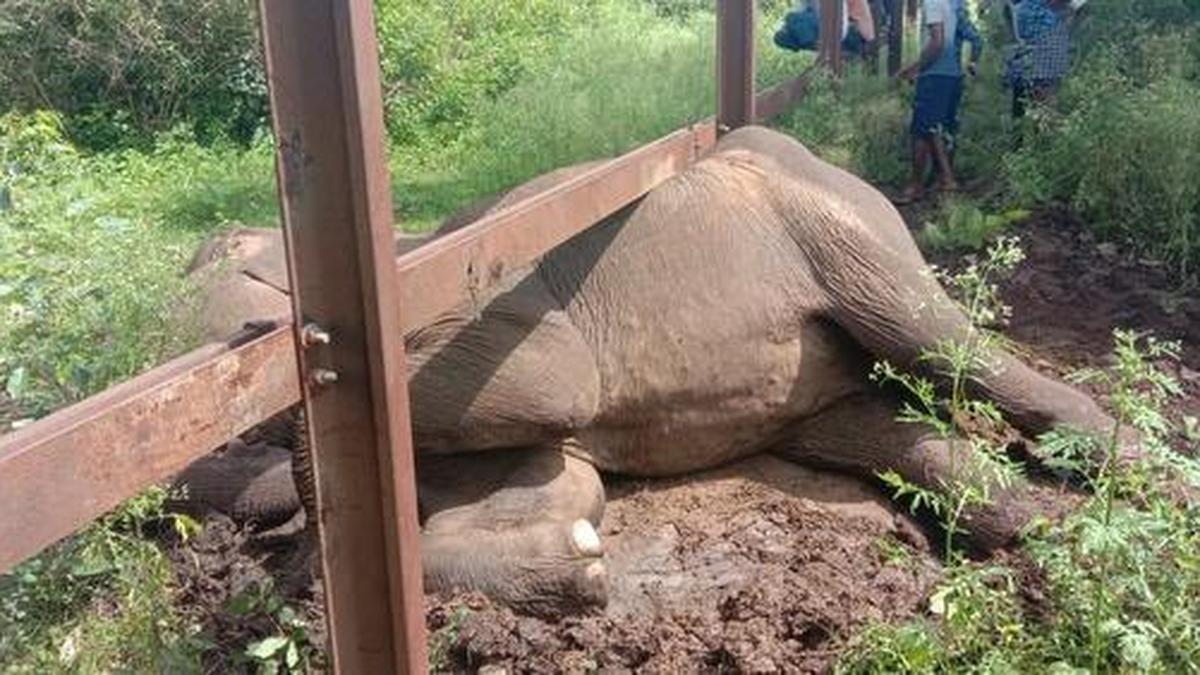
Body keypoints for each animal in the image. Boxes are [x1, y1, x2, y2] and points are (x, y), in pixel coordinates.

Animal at [175, 125, 1119, 614]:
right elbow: (565, 488)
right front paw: (579, 561)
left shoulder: (482, 309)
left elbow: (560, 387)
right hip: (821, 377)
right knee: (896, 434)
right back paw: (1047, 536)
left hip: (836, 231)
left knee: (943, 343)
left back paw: (1129, 477)